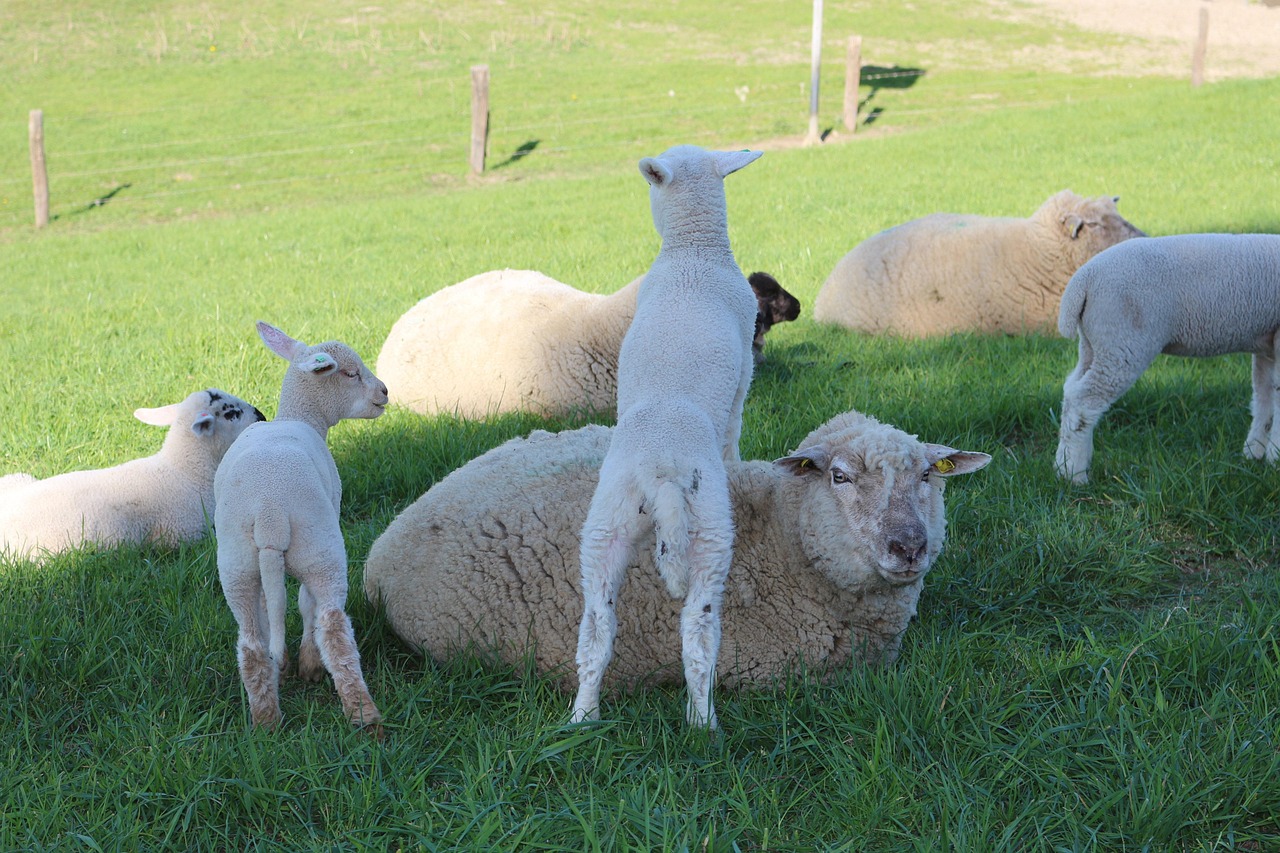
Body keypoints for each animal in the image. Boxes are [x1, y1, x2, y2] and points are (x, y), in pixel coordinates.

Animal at [213, 322, 387, 730]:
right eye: (350, 373)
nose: (385, 393)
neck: (301, 416)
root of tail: (270, 513)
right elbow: (306, 605)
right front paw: (308, 664)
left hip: (237, 565)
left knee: (251, 641)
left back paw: (265, 721)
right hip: (321, 549)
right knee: (332, 626)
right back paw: (363, 715)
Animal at [570, 144, 763, 730]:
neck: (692, 251)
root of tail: (660, 473)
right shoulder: (746, 368)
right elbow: (734, 430)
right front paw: (740, 462)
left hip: (606, 526)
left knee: (595, 632)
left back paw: (582, 716)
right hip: (708, 531)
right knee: (698, 635)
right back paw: (704, 724)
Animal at [1055, 233, 1280, 484]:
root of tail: (1083, 280)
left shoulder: (1267, 343)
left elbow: (1264, 396)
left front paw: (1255, 452)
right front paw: (1275, 458)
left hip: (1094, 344)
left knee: (1071, 392)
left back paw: (1064, 467)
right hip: (1122, 342)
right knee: (1084, 402)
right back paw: (1075, 475)